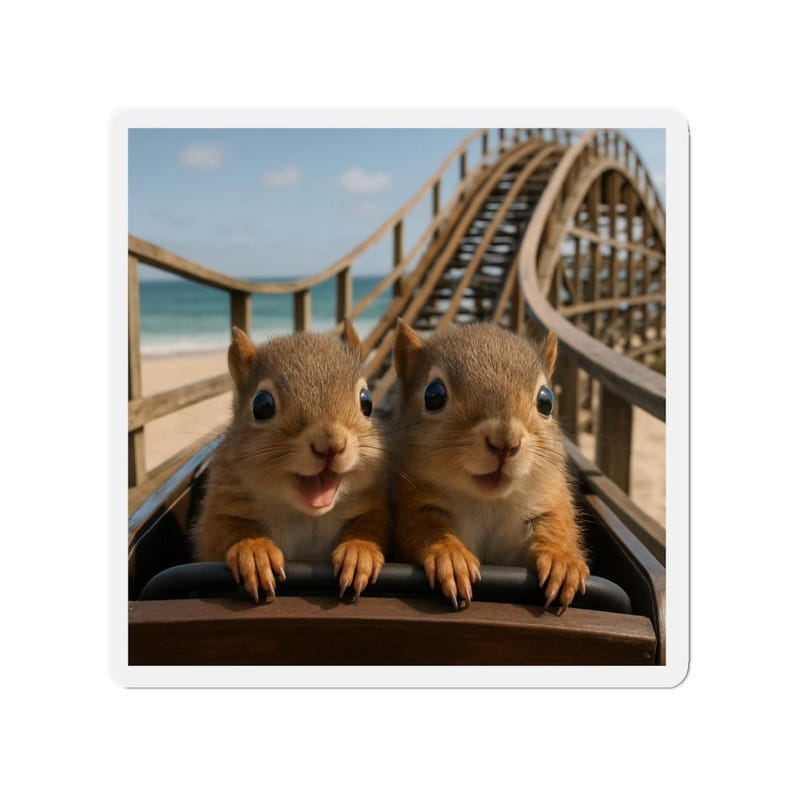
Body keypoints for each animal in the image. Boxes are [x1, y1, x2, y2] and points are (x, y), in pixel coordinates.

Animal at [191, 321, 390, 603]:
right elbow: (218, 533)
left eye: (367, 401)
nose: (330, 445)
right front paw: (254, 551)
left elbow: (374, 524)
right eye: (261, 405)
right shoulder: (220, 506)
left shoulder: (371, 503)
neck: (303, 514)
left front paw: (359, 551)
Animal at [390, 319, 589, 612]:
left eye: (546, 400)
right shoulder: (416, 502)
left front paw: (561, 561)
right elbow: (422, 528)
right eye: (433, 395)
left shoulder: (549, 498)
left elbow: (557, 526)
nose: (505, 441)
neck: (488, 502)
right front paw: (450, 556)